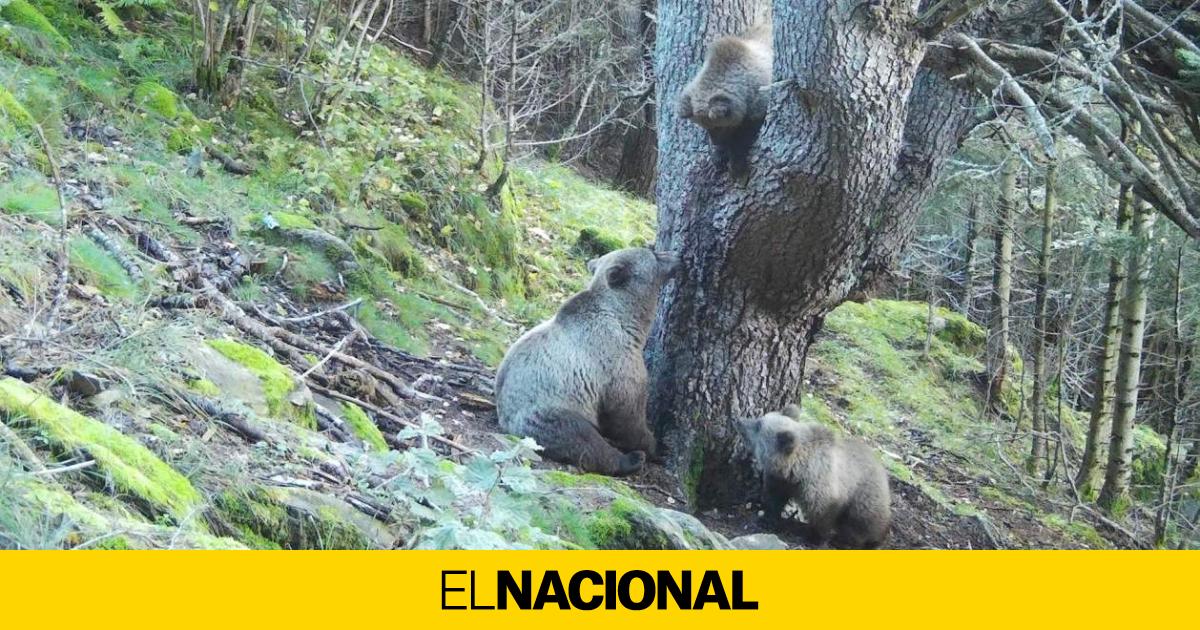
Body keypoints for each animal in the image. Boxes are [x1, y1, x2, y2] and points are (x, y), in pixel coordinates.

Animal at [494, 247, 679, 476]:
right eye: (653, 253)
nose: (677, 257)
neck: (630, 322)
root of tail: (507, 424)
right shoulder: (616, 362)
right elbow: (626, 416)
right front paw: (655, 447)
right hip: (549, 412)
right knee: (583, 440)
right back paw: (631, 460)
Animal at [677, 21, 772, 160]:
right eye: (705, 127)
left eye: (719, 127)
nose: (715, 142)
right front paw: (718, 156)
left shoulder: (757, 103)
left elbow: (745, 135)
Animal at [738, 404, 891, 548]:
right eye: (762, 418)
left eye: (759, 426)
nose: (739, 420)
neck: (797, 470)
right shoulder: (781, 480)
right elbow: (774, 498)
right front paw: (768, 519)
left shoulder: (823, 487)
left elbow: (823, 514)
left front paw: (814, 538)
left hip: (865, 495)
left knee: (861, 522)